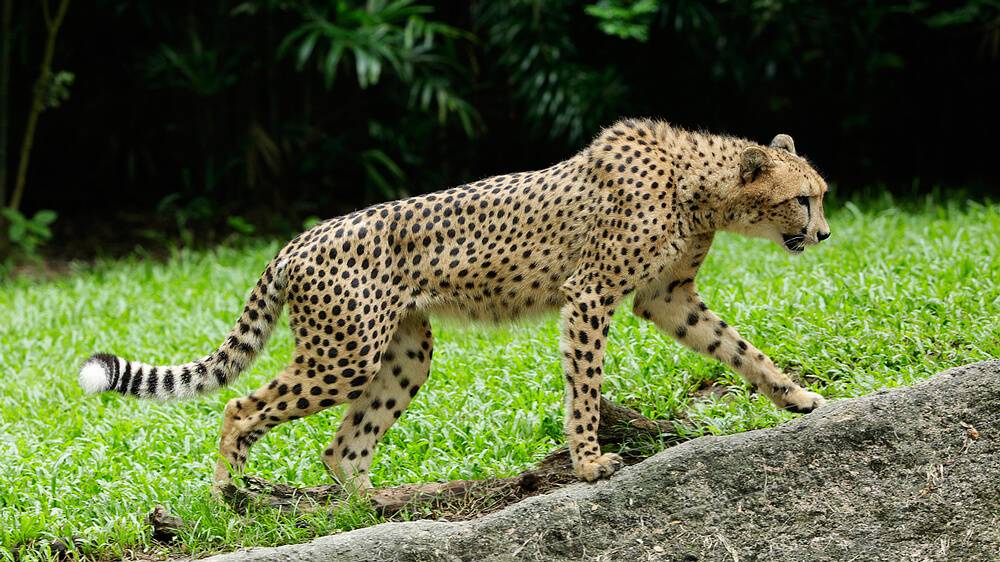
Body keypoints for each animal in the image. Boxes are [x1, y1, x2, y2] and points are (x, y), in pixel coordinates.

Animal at [78, 118, 831, 492]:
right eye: (803, 198)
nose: (824, 235)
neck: (700, 186)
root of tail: (296, 240)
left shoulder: (666, 297)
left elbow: (739, 347)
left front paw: (797, 397)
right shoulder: (590, 295)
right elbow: (586, 386)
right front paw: (590, 463)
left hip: (403, 353)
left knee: (342, 447)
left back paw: (370, 510)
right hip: (345, 355)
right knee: (240, 407)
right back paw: (229, 500)